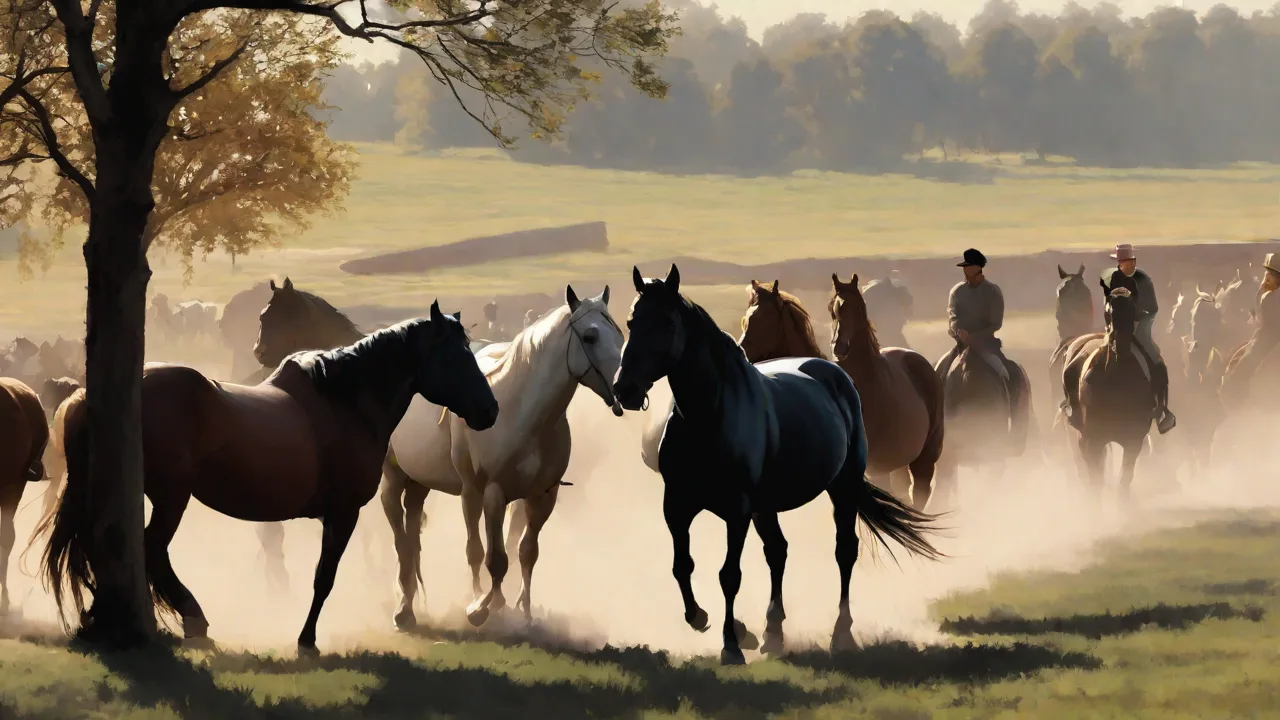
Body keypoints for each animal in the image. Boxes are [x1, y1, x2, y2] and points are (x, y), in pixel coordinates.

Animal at [40, 303, 499, 653]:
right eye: (455, 357)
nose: (490, 410)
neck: (345, 402)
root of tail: (84, 397)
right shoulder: (343, 513)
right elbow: (323, 578)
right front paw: (307, 640)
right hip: (172, 497)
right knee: (152, 549)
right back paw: (193, 617)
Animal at [383, 285, 623, 630]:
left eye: (619, 333)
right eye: (589, 336)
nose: (626, 387)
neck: (518, 410)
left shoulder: (542, 496)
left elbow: (526, 552)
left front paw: (522, 611)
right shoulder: (485, 493)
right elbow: (486, 555)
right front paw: (479, 606)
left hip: (419, 479)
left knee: (413, 531)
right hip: (394, 474)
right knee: (400, 535)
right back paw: (404, 610)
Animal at [829, 274, 945, 511]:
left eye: (858, 307)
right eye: (832, 311)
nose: (840, 348)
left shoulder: (876, 469)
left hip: (924, 459)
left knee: (920, 493)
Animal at [1059, 287, 1153, 500]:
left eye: (1132, 310)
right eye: (1109, 311)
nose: (1121, 343)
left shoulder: (1133, 440)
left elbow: (1124, 478)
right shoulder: (1093, 439)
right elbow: (1095, 478)